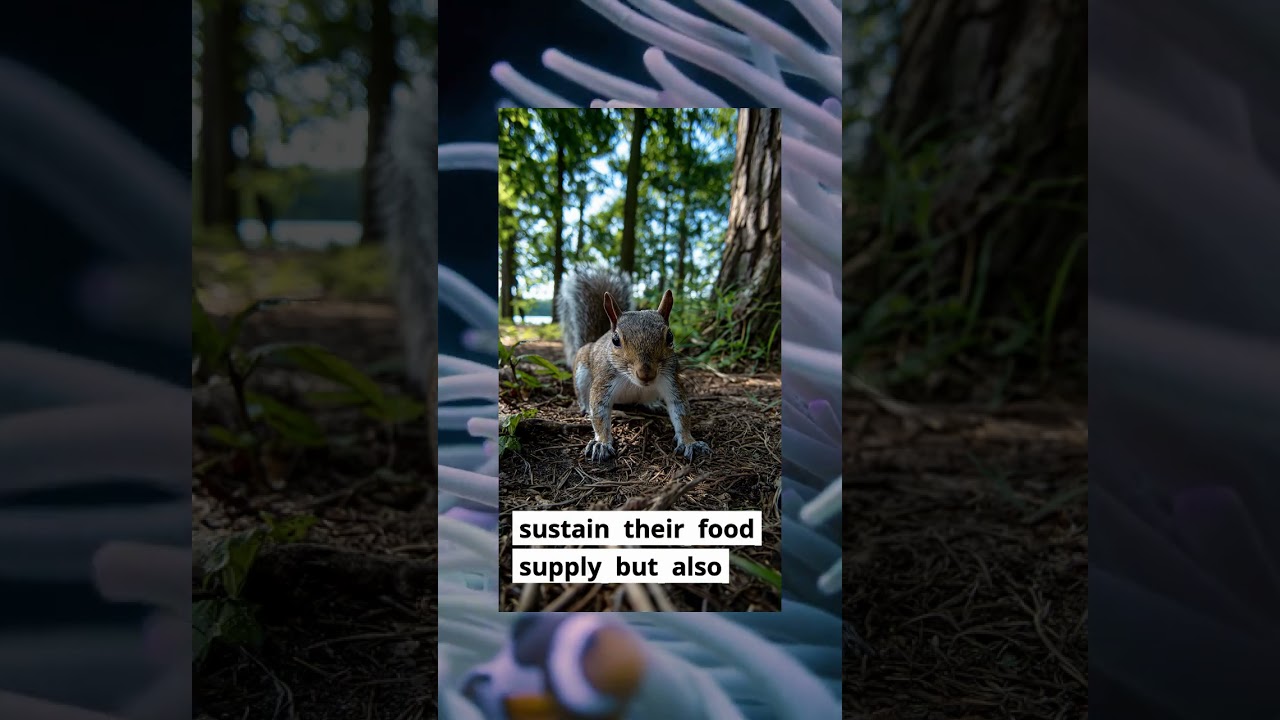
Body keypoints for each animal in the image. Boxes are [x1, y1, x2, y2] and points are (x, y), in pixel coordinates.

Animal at [556, 264, 711, 463]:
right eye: (615, 340)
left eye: (670, 337)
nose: (646, 374)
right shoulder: (604, 382)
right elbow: (599, 412)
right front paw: (602, 442)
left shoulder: (670, 380)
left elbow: (681, 410)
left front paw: (689, 441)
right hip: (582, 369)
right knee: (583, 394)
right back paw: (584, 407)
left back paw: (653, 404)